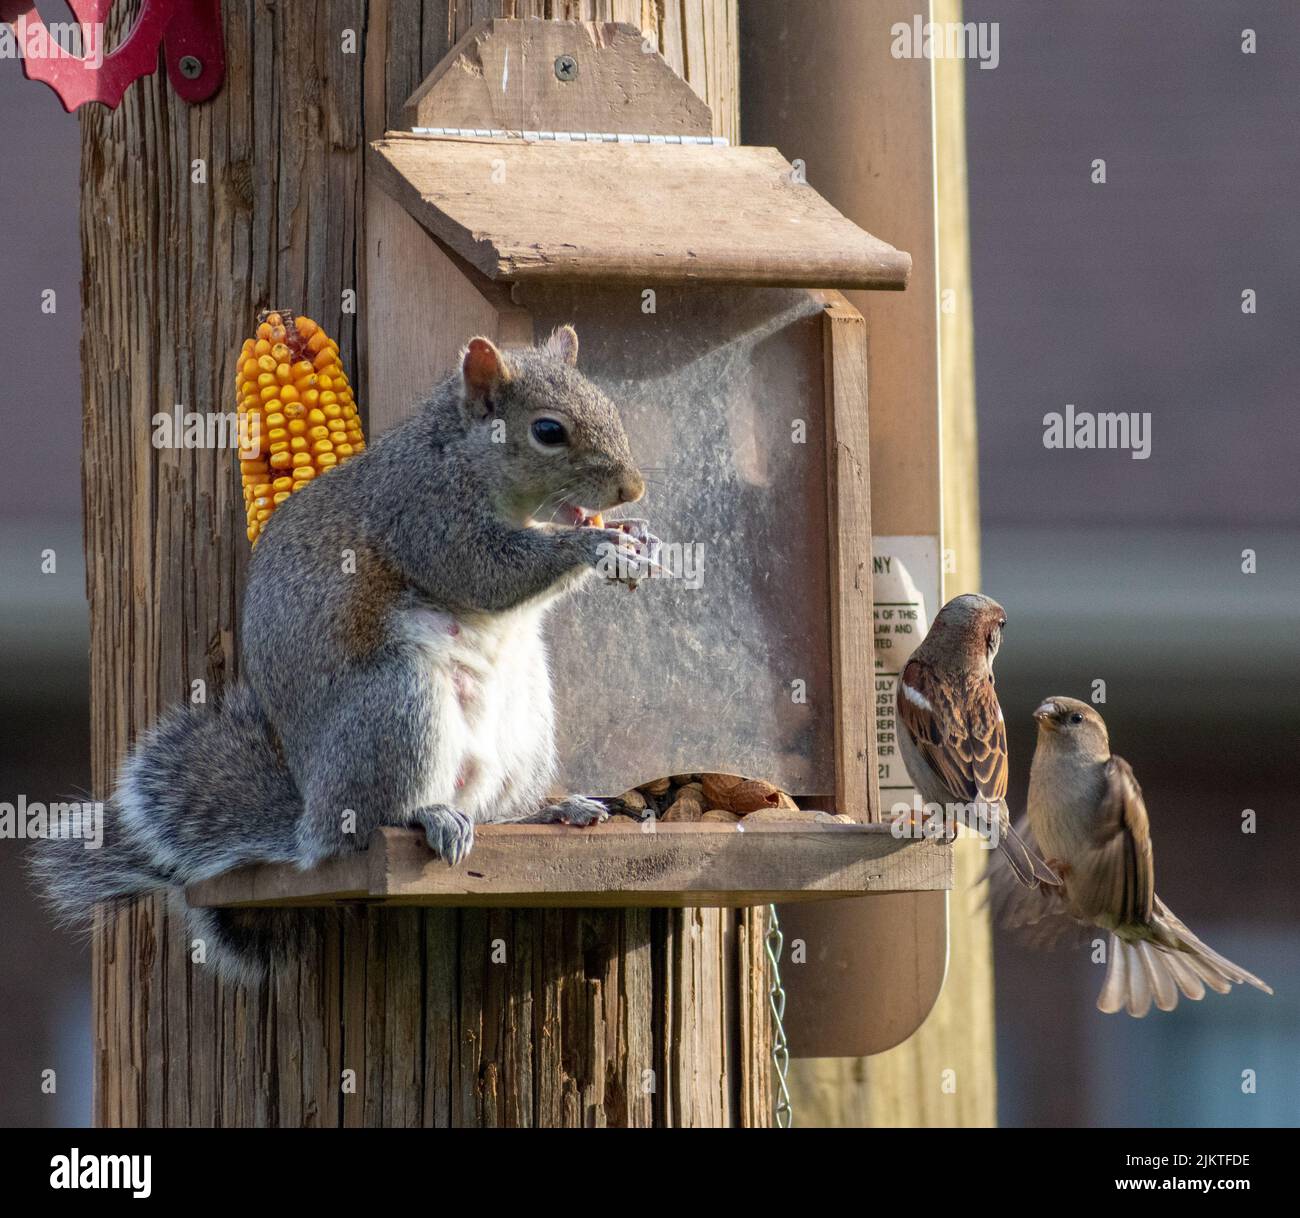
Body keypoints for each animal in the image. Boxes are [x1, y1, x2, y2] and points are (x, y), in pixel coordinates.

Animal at [30, 325, 658, 983]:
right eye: (548, 430)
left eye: (610, 405)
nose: (632, 489)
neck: (458, 453)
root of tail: (310, 823)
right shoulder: (422, 513)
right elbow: (484, 572)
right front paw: (594, 544)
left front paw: (639, 535)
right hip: (398, 706)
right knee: (382, 816)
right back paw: (431, 815)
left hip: (526, 724)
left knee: (494, 811)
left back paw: (551, 812)